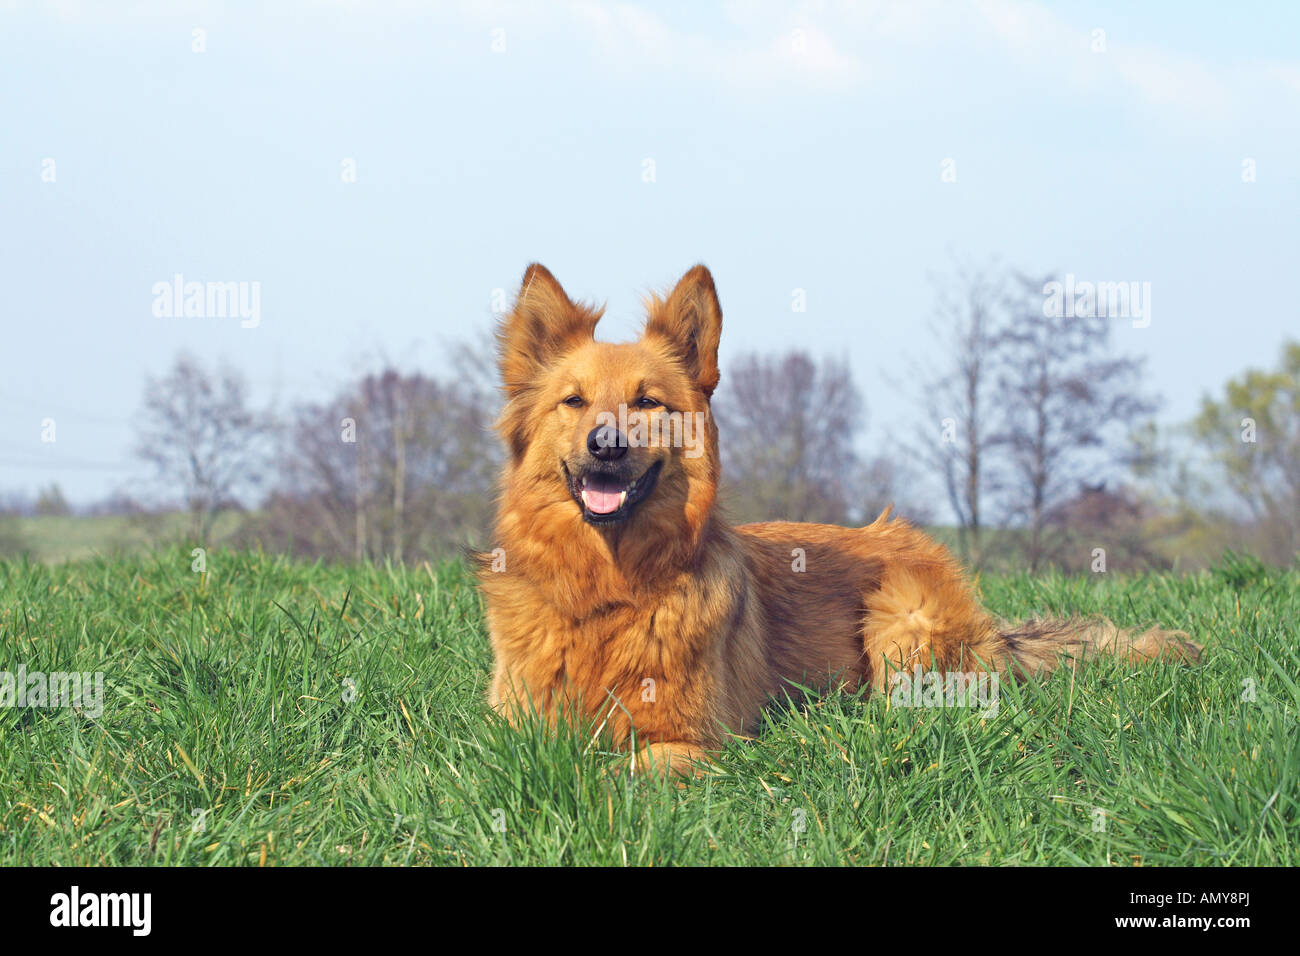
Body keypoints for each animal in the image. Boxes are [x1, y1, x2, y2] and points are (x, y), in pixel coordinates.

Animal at [478, 263, 1201, 775]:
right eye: (573, 401)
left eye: (647, 402)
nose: (605, 445)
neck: (608, 592)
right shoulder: (513, 724)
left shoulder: (694, 740)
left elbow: (617, 771)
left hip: (900, 617)